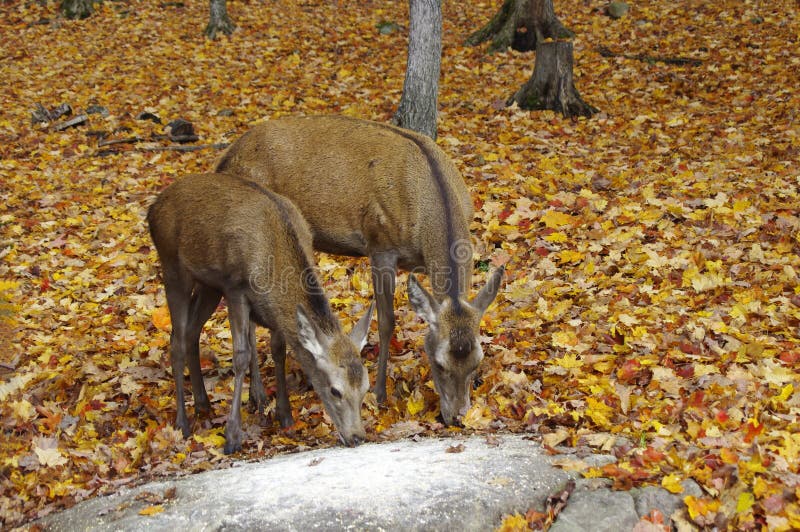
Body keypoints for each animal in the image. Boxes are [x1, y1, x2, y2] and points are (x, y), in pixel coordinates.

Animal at [147, 172, 374, 454]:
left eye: (365, 387)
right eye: (335, 390)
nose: (358, 437)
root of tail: (152, 209)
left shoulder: (270, 309)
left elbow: (278, 350)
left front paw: (284, 414)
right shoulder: (235, 288)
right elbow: (241, 355)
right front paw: (233, 435)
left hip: (209, 285)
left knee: (190, 333)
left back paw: (203, 404)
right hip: (173, 268)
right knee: (176, 342)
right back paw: (182, 423)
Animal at [213, 115, 504, 426]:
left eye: (478, 361)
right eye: (439, 363)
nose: (457, 417)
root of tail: (224, 160)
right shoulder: (380, 246)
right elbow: (386, 321)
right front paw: (379, 393)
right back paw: (258, 396)